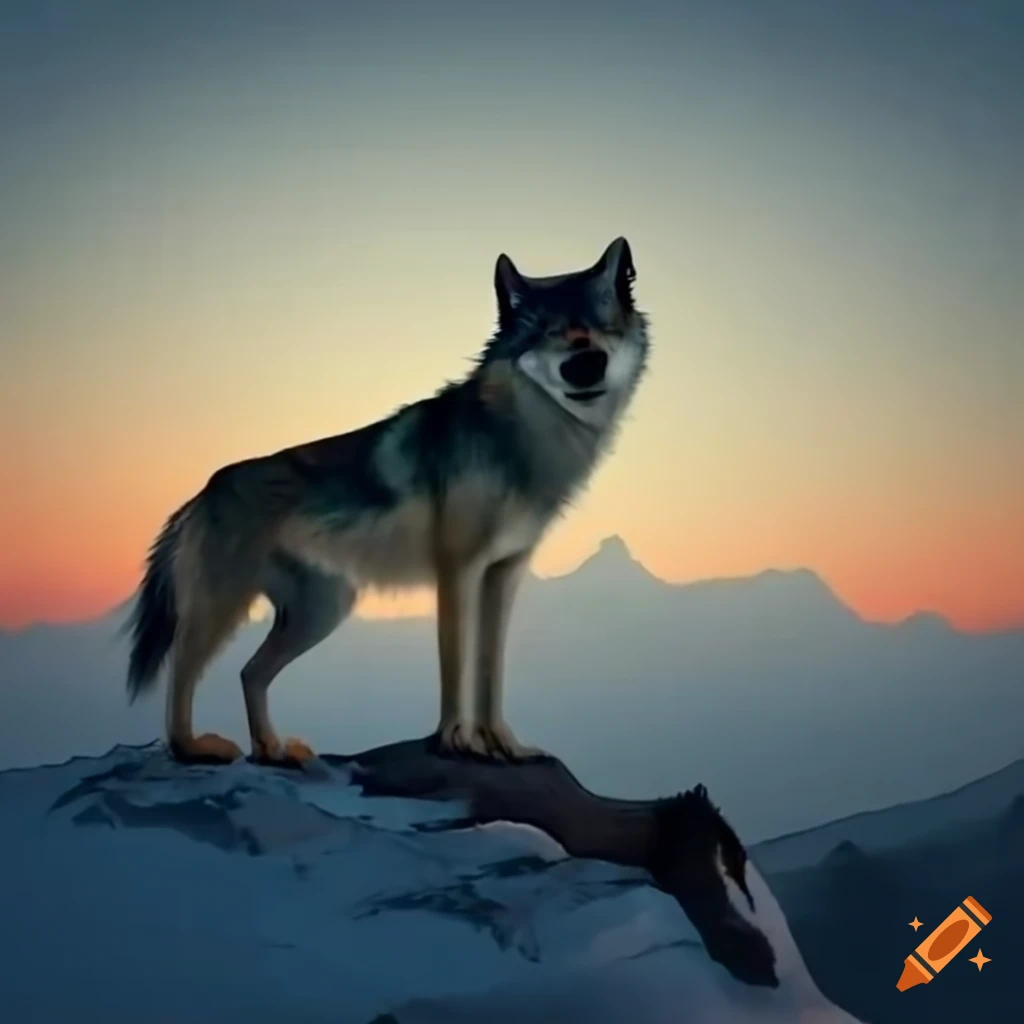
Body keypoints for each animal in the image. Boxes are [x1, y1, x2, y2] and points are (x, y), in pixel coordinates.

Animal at [124, 237, 650, 765]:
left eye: (604, 328)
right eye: (548, 333)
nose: (587, 363)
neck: (520, 440)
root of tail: (201, 492)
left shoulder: (503, 575)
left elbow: (491, 669)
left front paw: (504, 745)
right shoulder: (458, 569)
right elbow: (455, 666)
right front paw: (457, 741)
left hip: (323, 611)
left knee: (248, 672)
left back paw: (274, 750)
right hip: (224, 608)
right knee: (181, 673)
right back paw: (193, 747)